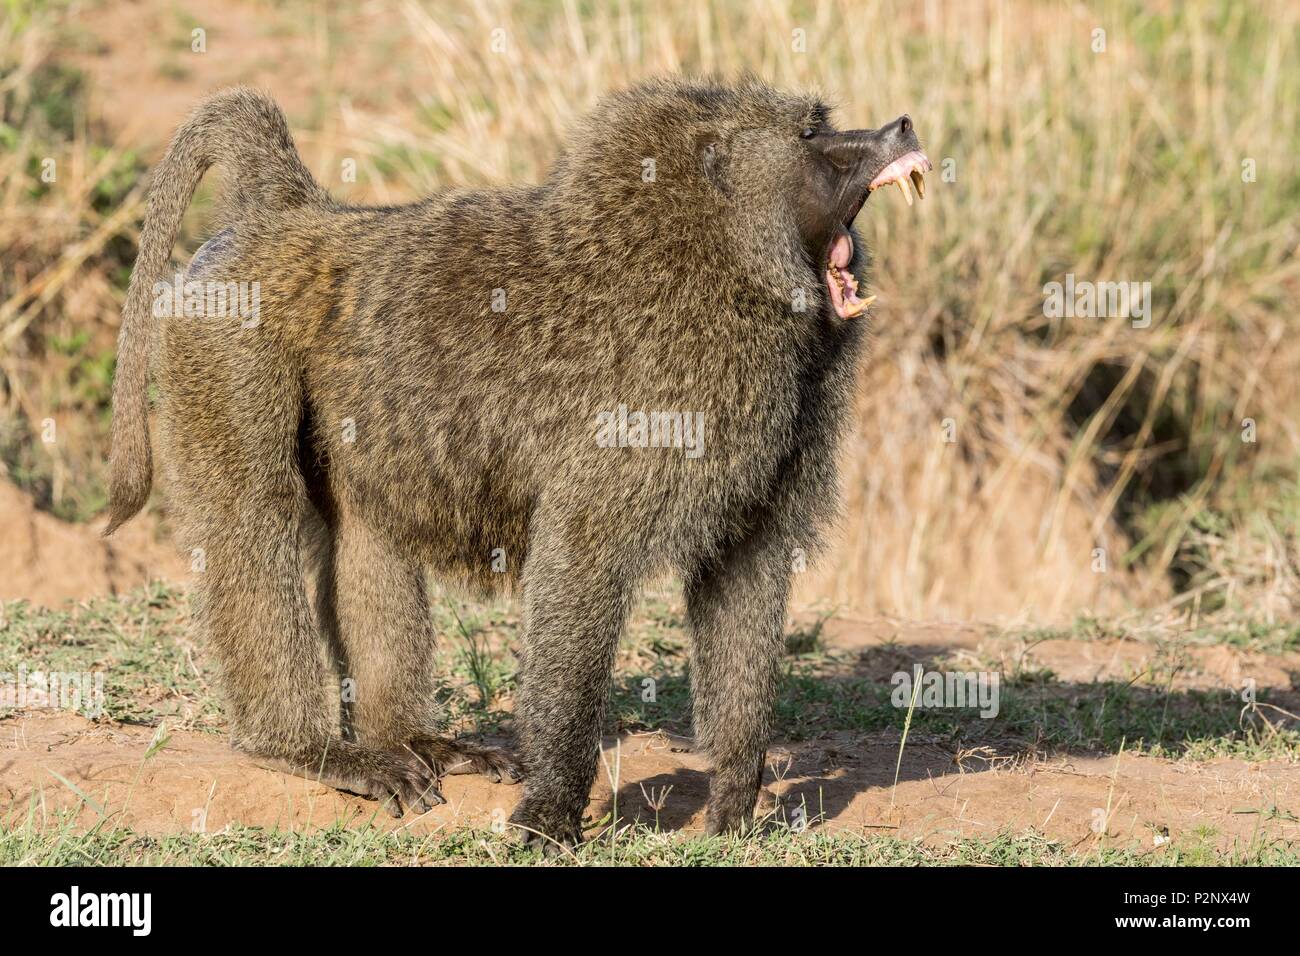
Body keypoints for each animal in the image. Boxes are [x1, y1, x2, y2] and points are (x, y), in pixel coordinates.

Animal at [105, 76, 929, 844]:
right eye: (812, 135)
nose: (902, 126)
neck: (722, 261)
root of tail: (288, 216)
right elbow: (581, 561)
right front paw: (552, 811)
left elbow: (745, 567)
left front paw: (732, 805)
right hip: (227, 339)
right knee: (253, 521)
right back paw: (306, 750)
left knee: (367, 526)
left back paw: (408, 740)